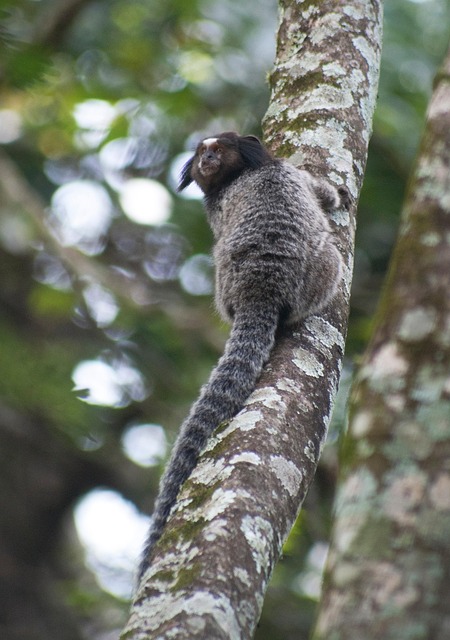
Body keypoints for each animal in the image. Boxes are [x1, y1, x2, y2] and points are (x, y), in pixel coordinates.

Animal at [139, 131, 348, 577]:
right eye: (203, 154)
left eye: (217, 150)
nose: (208, 160)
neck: (240, 174)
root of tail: (261, 288)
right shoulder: (287, 174)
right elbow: (319, 192)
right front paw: (338, 195)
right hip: (318, 273)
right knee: (332, 260)